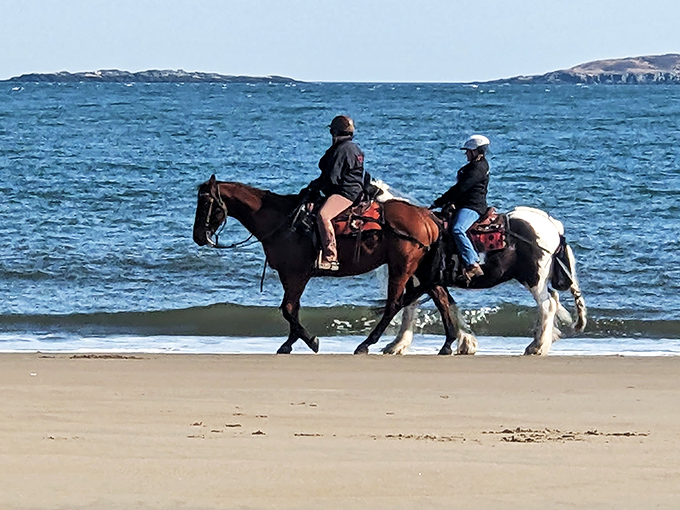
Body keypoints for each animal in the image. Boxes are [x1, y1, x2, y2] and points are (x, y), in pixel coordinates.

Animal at [193, 175, 470, 354]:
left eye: (206, 203)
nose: (198, 237)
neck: (283, 220)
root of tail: (428, 217)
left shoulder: (295, 274)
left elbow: (288, 308)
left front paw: (308, 341)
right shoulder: (291, 276)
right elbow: (292, 308)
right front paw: (291, 342)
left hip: (402, 267)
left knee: (394, 304)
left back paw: (366, 344)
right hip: (420, 268)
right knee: (440, 297)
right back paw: (448, 343)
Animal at [380, 206, 588, 356]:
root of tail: (553, 227)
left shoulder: (427, 281)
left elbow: (436, 306)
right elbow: (432, 306)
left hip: (534, 278)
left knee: (547, 305)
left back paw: (537, 346)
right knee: (552, 300)